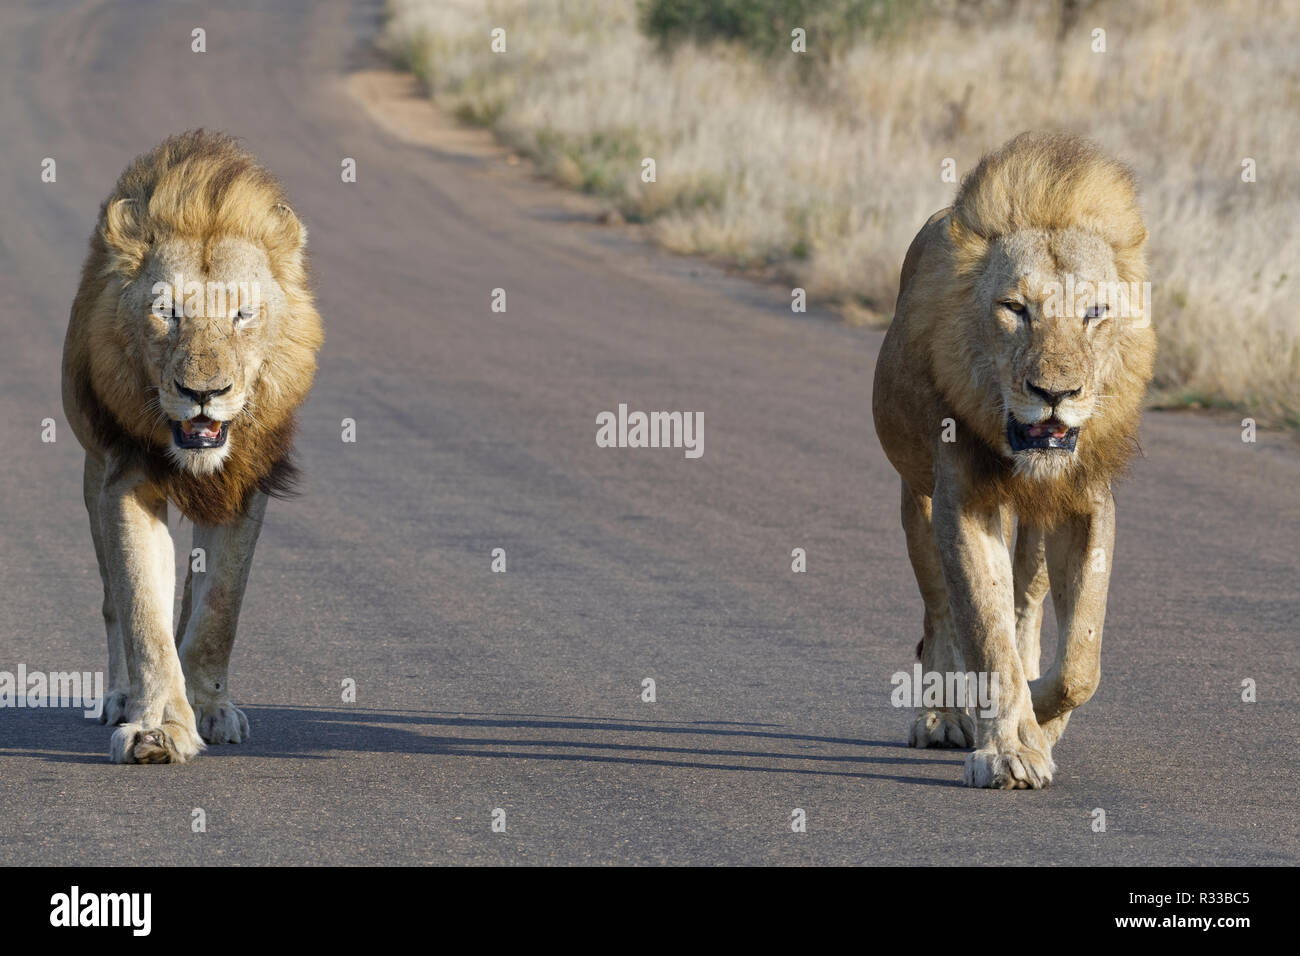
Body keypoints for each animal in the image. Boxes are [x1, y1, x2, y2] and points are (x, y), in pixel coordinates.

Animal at [61, 130, 323, 764]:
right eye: (167, 311)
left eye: (243, 313)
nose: (204, 394)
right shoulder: (124, 481)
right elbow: (142, 612)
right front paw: (157, 727)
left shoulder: (246, 487)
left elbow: (219, 607)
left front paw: (209, 707)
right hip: (91, 475)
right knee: (112, 600)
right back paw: (120, 697)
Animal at [872, 132, 1155, 788]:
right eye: (1015, 308)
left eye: (1095, 313)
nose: (1056, 393)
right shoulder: (963, 499)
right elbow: (983, 627)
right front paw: (1008, 749)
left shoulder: (1085, 501)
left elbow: (1080, 658)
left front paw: (1040, 719)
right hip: (918, 497)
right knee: (940, 611)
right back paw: (942, 717)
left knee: (1024, 601)